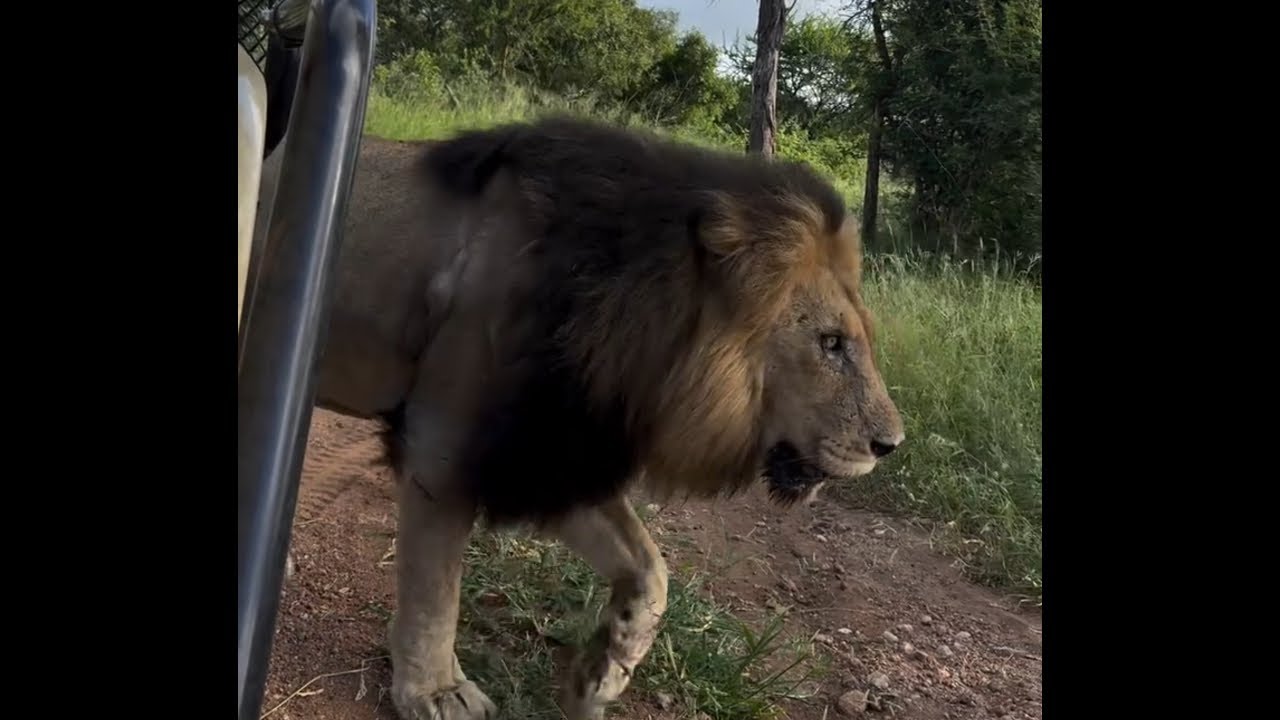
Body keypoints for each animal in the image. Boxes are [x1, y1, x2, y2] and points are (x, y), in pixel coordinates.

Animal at [250, 116, 905, 720]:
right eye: (831, 343)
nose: (891, 444)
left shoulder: (554, 449)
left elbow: (651, 569)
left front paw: (602, 674)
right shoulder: (450, 449)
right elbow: (435, 589)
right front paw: (435, 691)